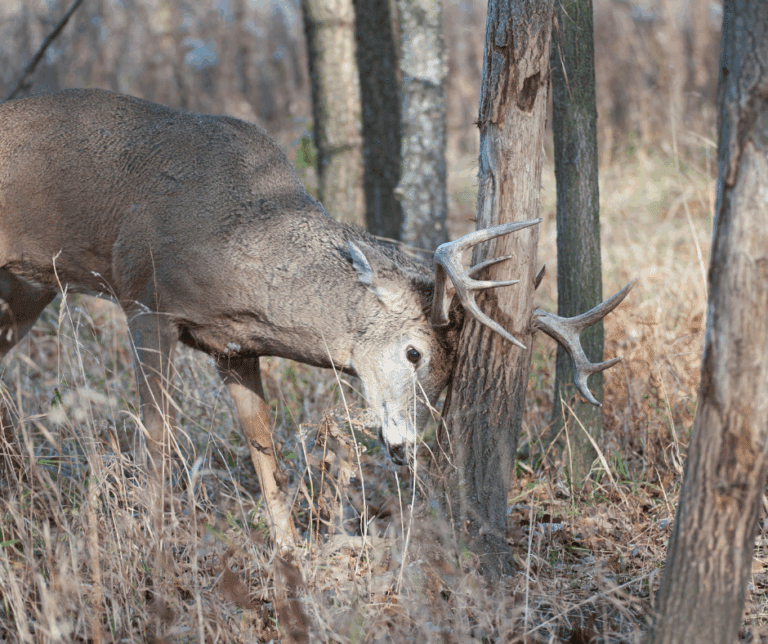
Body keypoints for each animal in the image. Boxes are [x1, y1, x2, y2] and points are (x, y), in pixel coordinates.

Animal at [0, 89, 633, 544]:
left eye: (450, 378)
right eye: (414, 352)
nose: (405, 447)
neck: (234, 243)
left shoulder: (234, 346)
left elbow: (264, 449)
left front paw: (289, 553)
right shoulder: (145, 301)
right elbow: (156, 436)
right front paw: (152, 540)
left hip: (26, 290)